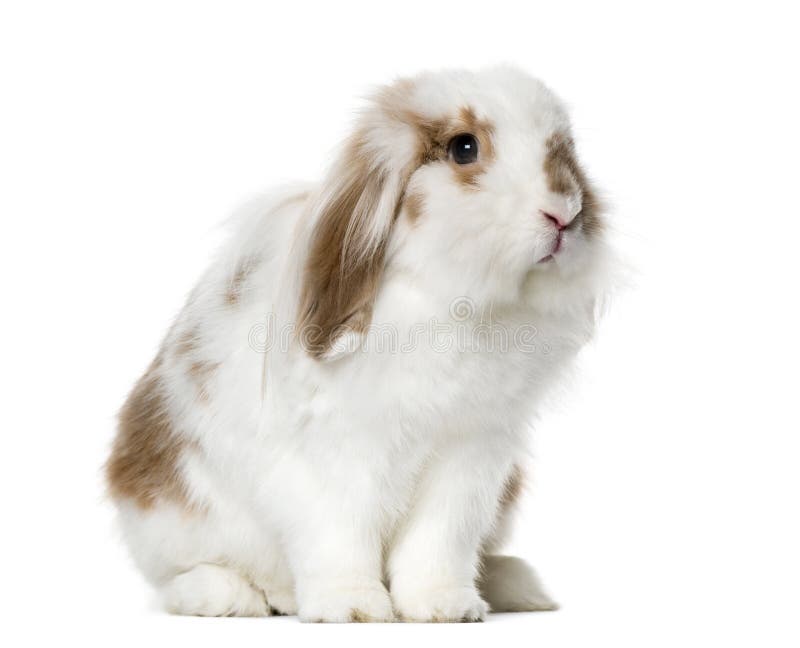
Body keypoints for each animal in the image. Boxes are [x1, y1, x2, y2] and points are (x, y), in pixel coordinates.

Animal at [106, 65, 613, 622]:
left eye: (565, 149)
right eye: (463, 148)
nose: (563, 213)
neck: (451, 300)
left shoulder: (468, 458)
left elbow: (438, 543)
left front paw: (445, 607)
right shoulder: (332, 458)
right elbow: (338, 539)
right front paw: (352, 608)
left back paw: (520, 586)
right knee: (182, 579)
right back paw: (235, 596)